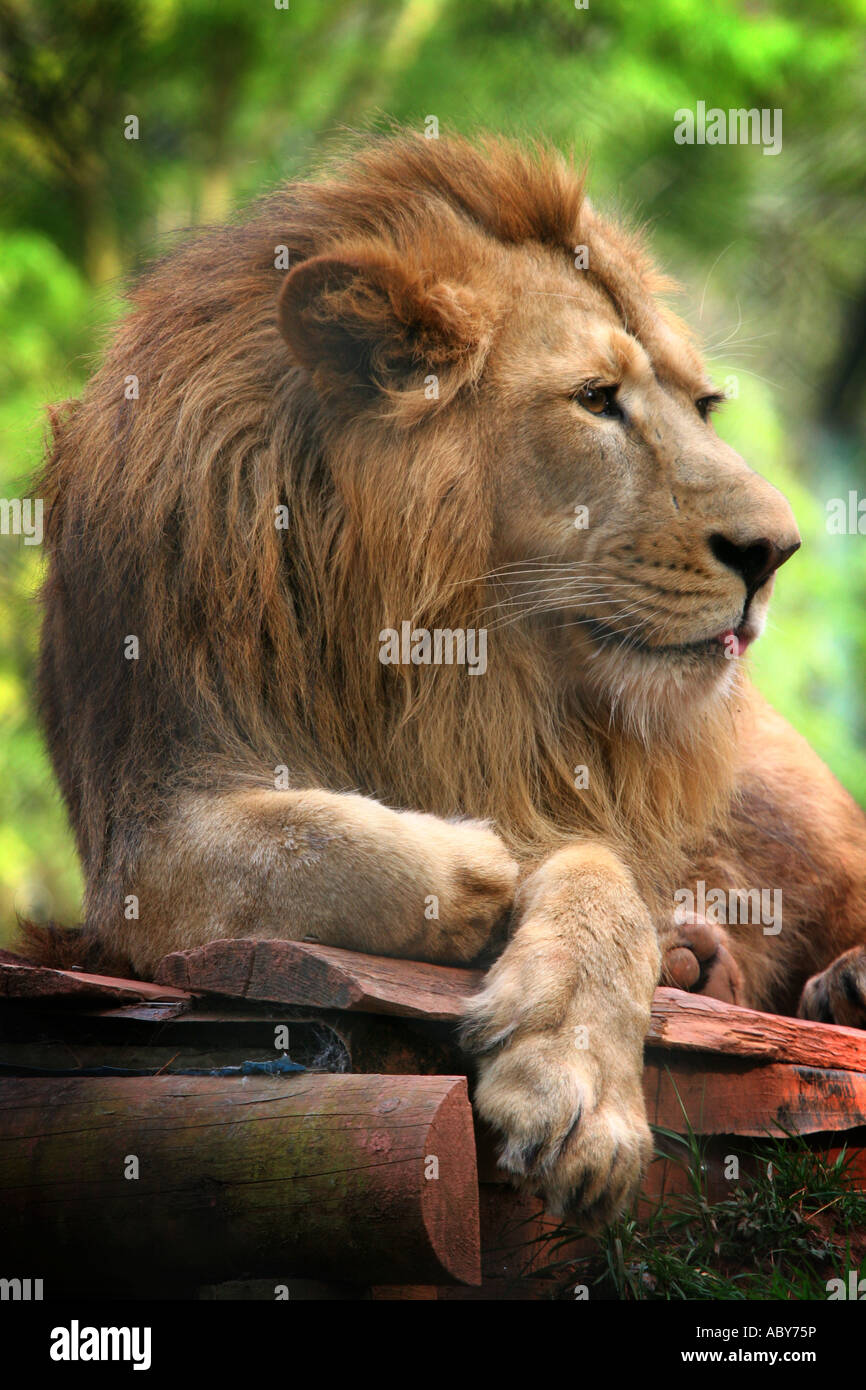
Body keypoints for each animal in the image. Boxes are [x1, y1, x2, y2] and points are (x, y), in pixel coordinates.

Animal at [30, 131, 866, 1225]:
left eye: (703, 406)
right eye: (596, 400)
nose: (774, 550)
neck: (442, 650)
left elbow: (600, 870)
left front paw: (574, 1081)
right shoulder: (142, 816)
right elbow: (296, 839)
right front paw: (479, 875)